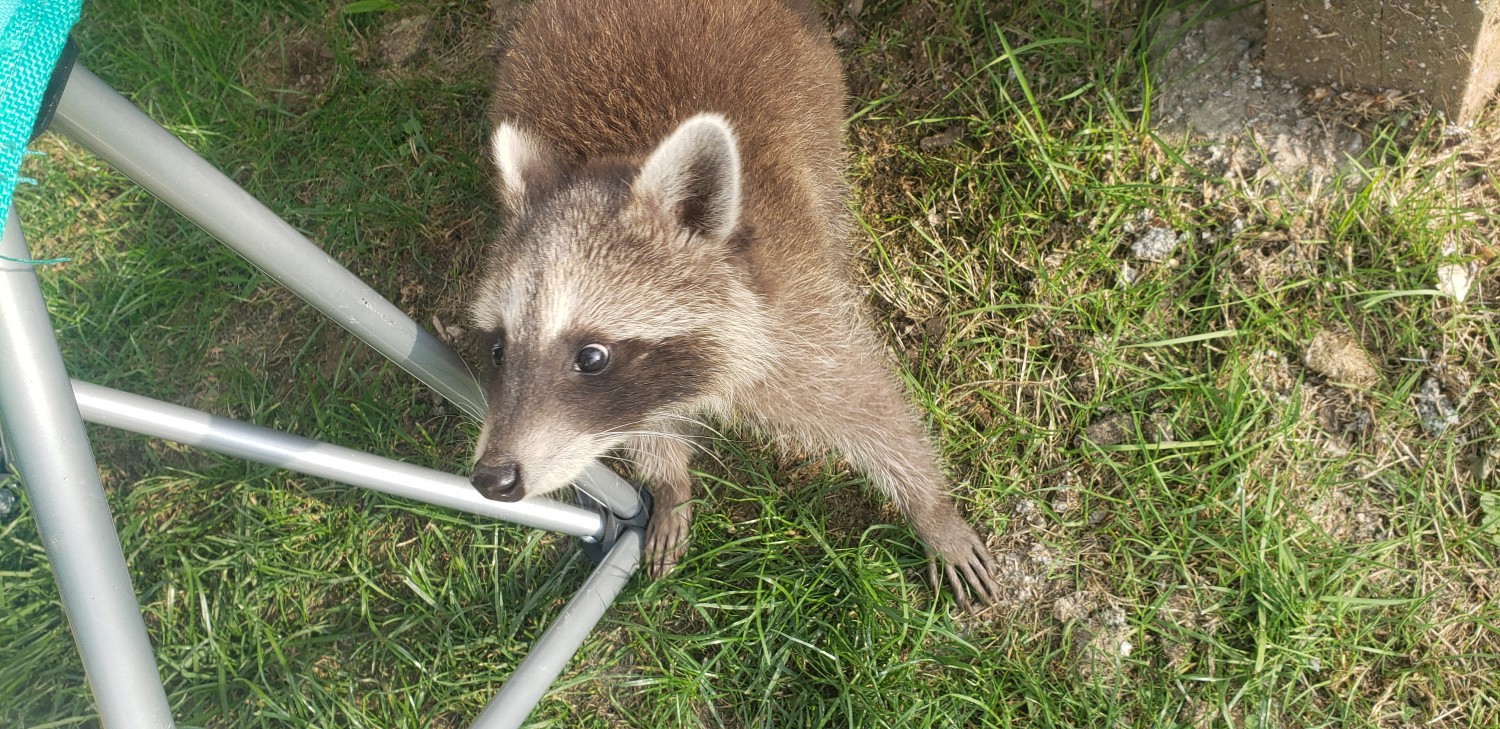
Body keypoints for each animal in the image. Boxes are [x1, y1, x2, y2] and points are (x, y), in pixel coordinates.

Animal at [468, 0, 1001, 609]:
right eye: (498, 351)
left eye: (591, 357)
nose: (491, 479)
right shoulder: (636, 399)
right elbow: (646, 429)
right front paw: (670, 482)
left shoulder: (797, 315)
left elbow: (871, 409)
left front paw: (931, 509)